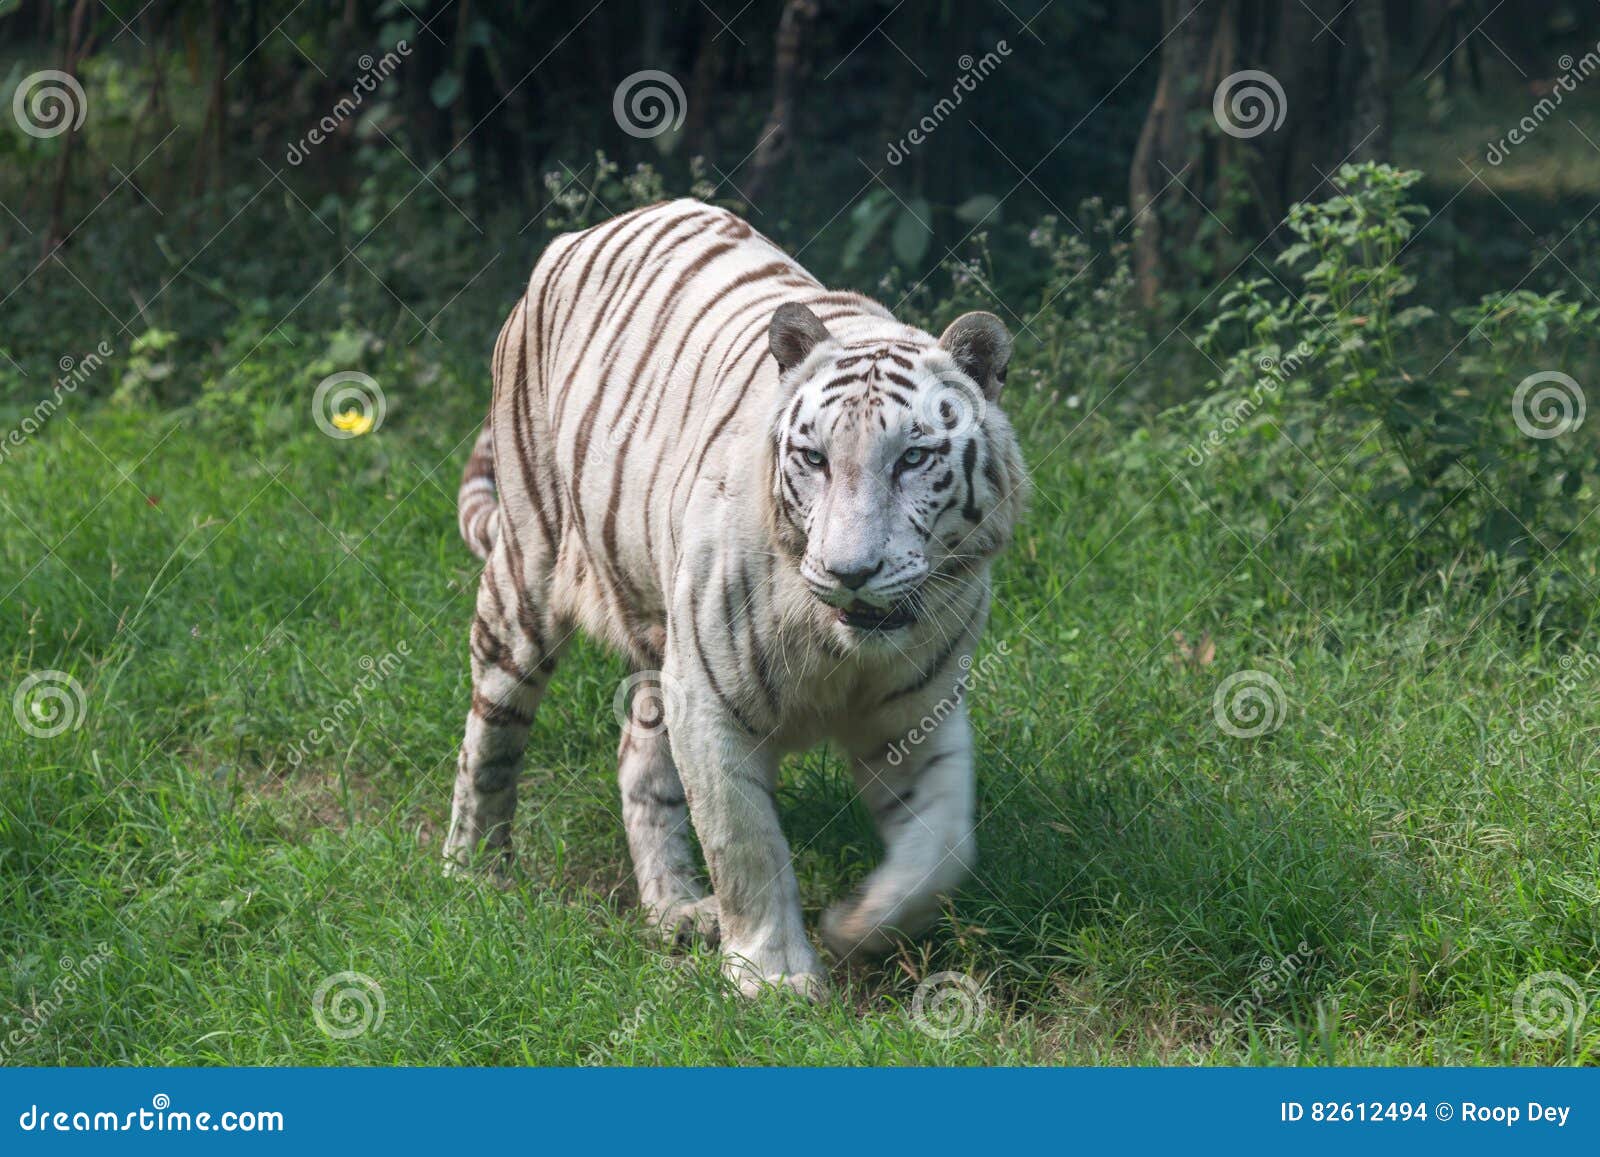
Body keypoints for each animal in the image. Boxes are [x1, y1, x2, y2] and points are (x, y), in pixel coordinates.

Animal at [445, 198, 1027, 998]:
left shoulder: (918, 712)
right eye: (814, 458)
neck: (841, 649)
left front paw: (854, 927)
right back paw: (475, 875)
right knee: (491, 735)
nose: (850, 571)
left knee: (636, 756)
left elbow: (940, 849)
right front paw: (774, 978)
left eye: (913, 457)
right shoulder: (710, 699)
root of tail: (578, 234)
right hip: (526, 580)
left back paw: (676, 908)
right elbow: (745, 844)